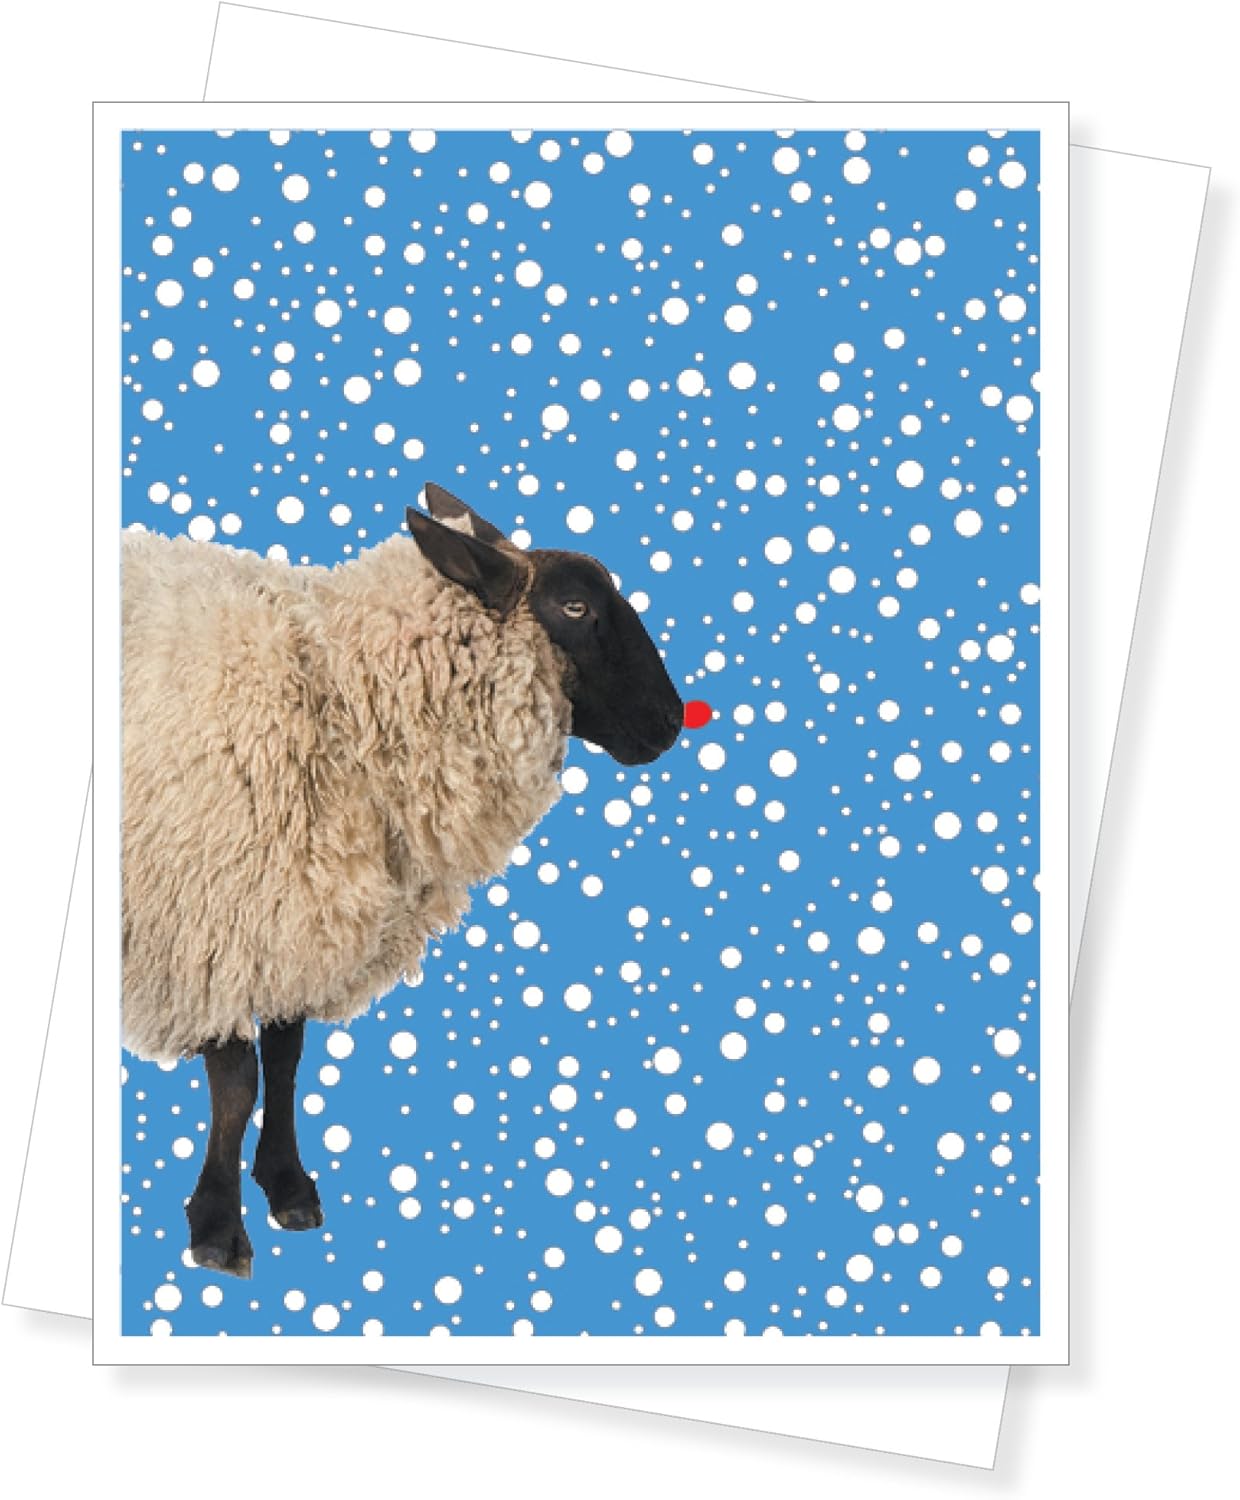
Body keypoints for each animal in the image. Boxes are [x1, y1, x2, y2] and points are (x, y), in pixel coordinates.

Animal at [122, 482, 686, 1276]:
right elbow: (237, 1083)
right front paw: (217, 1226)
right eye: (575, 607)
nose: (671, 721)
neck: (336, 694)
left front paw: (288, 1185)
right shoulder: (214, 923)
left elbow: (287, 1058)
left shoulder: (303, 904)